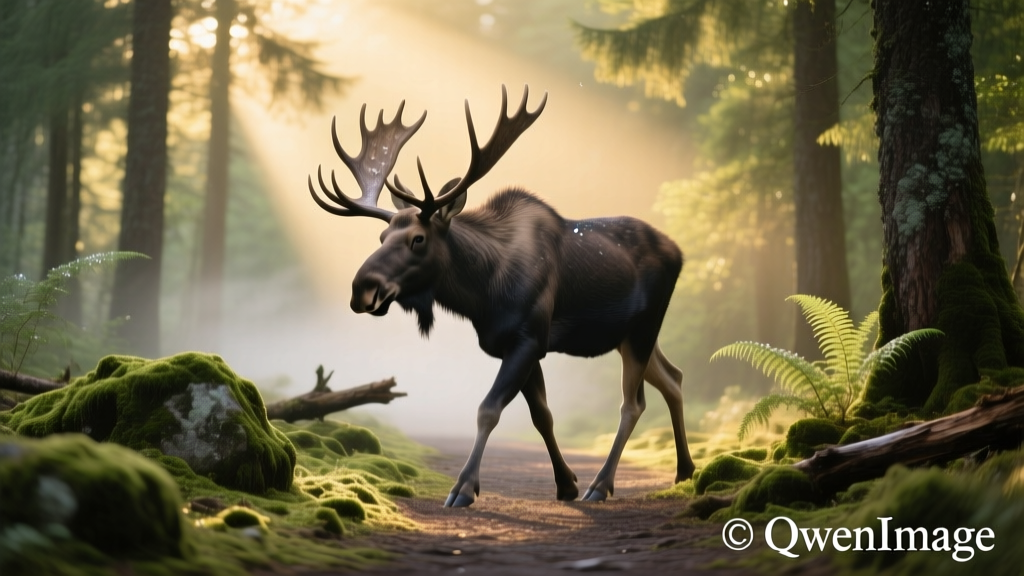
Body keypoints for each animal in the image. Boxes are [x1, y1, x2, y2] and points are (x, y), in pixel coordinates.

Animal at [307, 85, 695, 507]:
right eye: (381, 236)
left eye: (418, 239)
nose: (362, 289)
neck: (482, 294)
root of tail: (680, 252)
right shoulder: (518, 344)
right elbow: (542, 415)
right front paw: (566, 483)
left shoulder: (528, 339)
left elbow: (488, 409)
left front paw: (463, 488)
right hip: (630, 334)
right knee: (673, 378)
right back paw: (684, 470)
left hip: (644, 327)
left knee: (633, 403)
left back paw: (602, 484)